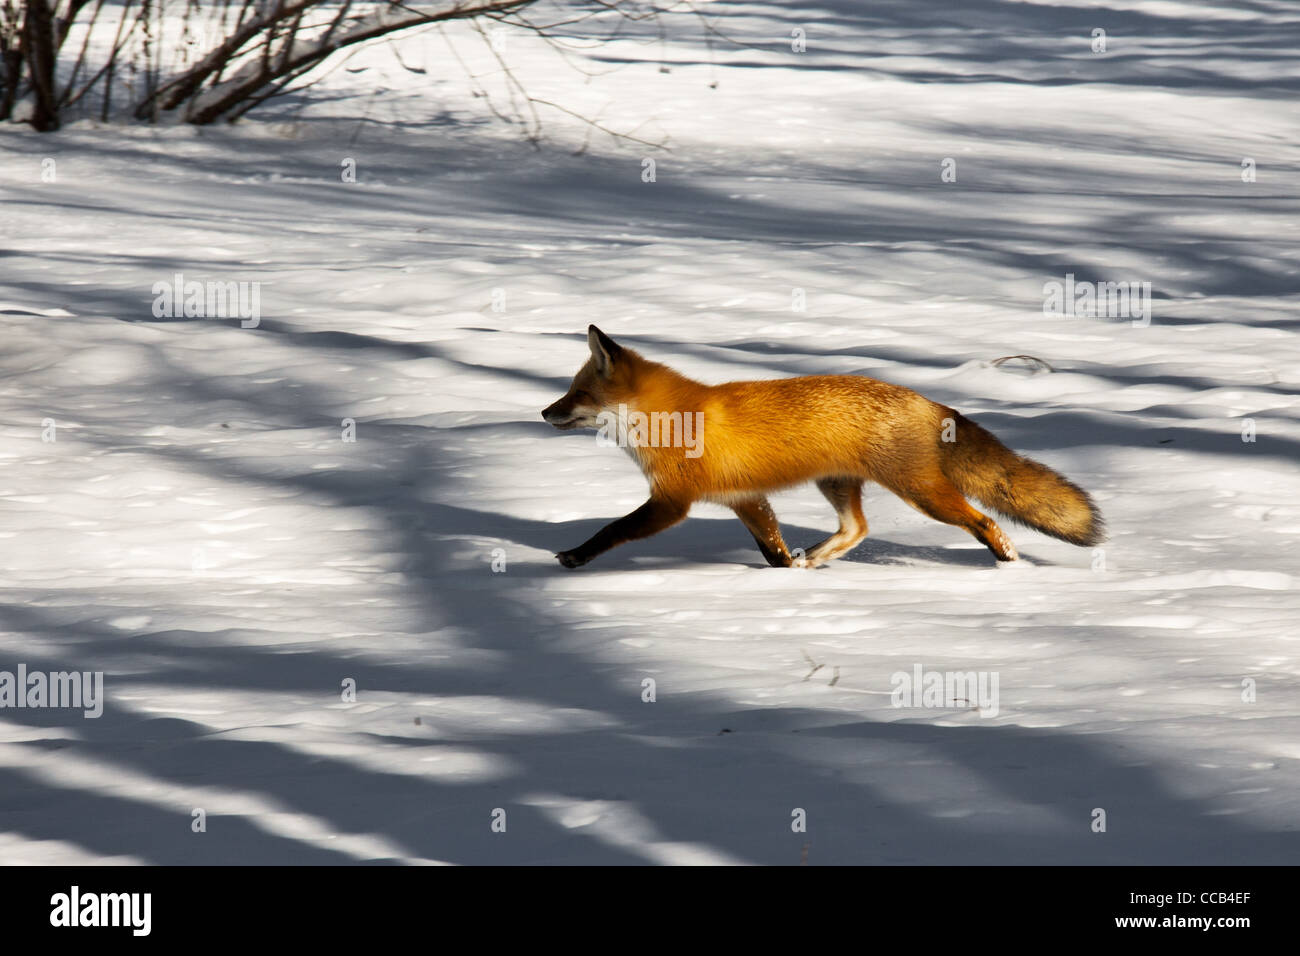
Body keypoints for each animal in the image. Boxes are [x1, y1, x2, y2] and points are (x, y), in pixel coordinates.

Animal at [541, 326, 1104, 569]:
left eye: (576, 394)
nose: (544, 412)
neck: (673, 420)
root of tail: (926, 400)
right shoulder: (744, 498)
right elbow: (771, 548)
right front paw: (786, 573)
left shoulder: (672, 501)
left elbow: (613, 529)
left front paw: (575, 556)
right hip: (836, 484)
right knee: (857, 529)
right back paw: (813, 561)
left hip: (920, 492)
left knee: (985, 521)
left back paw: (1008, 565)